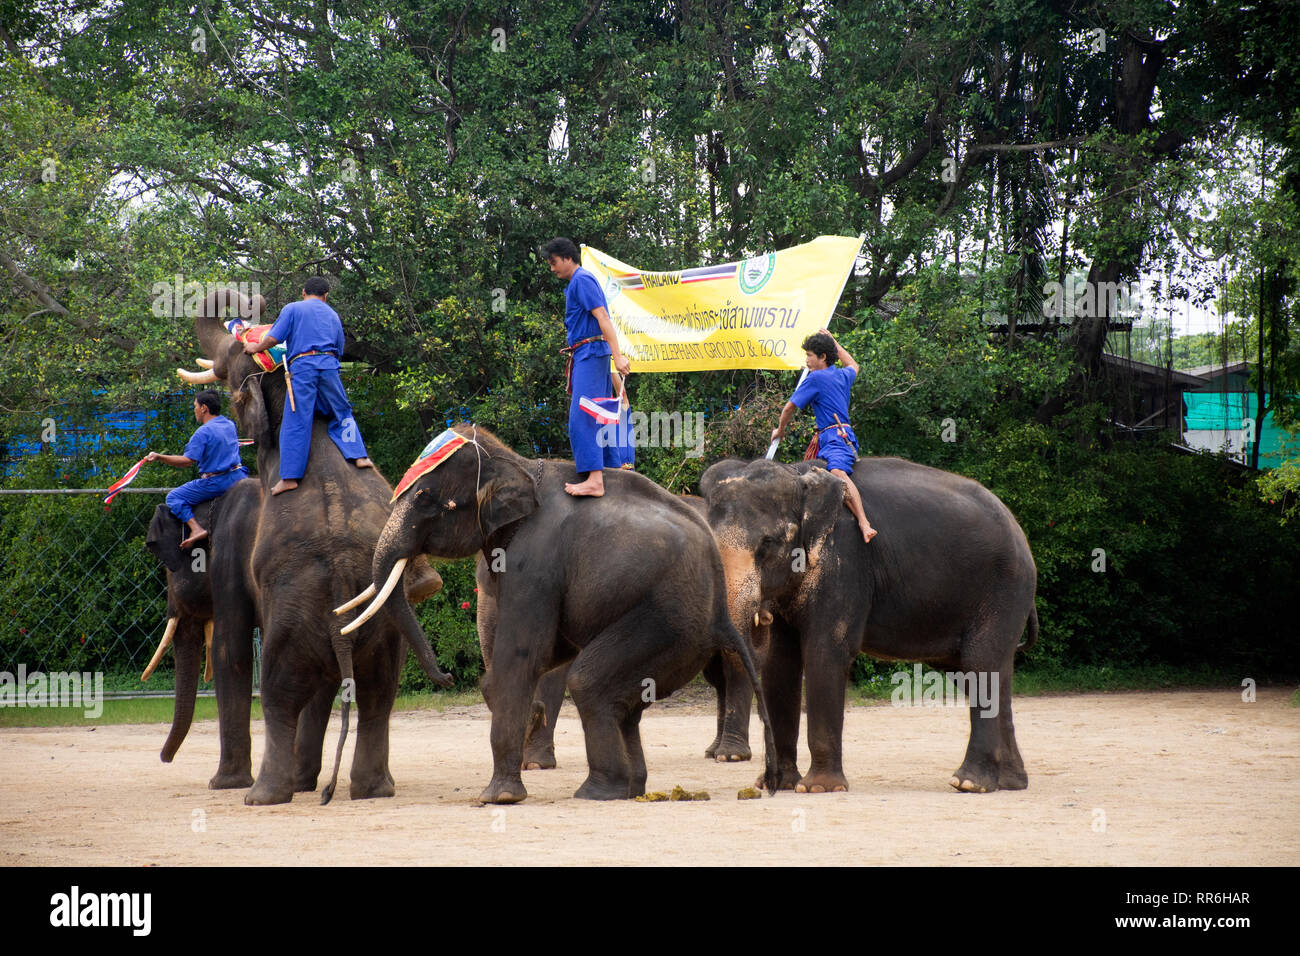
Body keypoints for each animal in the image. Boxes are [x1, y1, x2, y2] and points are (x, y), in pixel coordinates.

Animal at [175, 288, 452, 805]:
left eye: (231, 369)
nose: (250, 308)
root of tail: (342, 572)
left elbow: (233, 648)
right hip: (381, 630)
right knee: (379, 693)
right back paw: (372, 790)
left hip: (293, 621)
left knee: (279, 694)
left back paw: (262, 795)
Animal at [338, 424, 778, 803]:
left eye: (425, 499)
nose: (446, 676)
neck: (515, 464)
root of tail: (720, 606)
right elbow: (546, 650)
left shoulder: (534, 561)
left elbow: (524, 653)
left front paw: (498, 799)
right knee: (626, 699)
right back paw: (631, 788)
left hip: (668, 619)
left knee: (589, 681)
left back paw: (598, 791)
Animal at [700, 456, 1039, 794]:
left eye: (767, 544)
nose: (765, 782)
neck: (797, 474)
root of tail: (1021, 535)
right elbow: (780, 663)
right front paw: (782, 784)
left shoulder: (845, 562)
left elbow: (825, 652)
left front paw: (819, 788)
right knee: (982, 673)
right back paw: (1009, 783)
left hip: (1003, 590)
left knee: (980, 665)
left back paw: (968, 783)